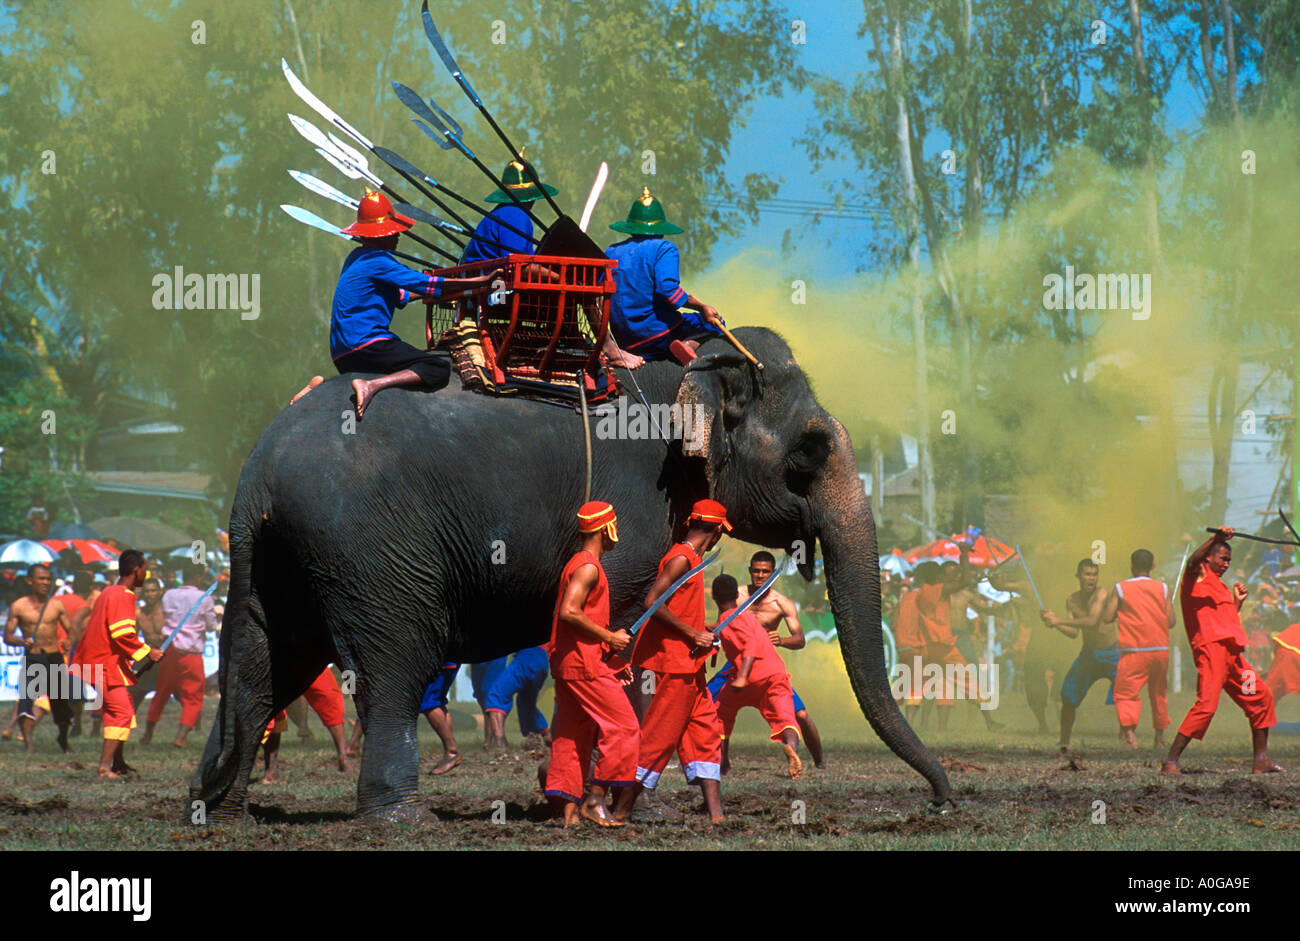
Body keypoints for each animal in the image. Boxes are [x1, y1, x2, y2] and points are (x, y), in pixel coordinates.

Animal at [190, 327, 952, 820]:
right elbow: (628, 628)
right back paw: (403, 819)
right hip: (371, 550)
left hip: (280, 558)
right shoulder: (638, 505)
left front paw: (581, 796)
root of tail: (257, 474)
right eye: (809, 451)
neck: (687, 364)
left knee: (261, 661)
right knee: (394, 664)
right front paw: (620, 805)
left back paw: (220, 810)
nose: (941, 801)